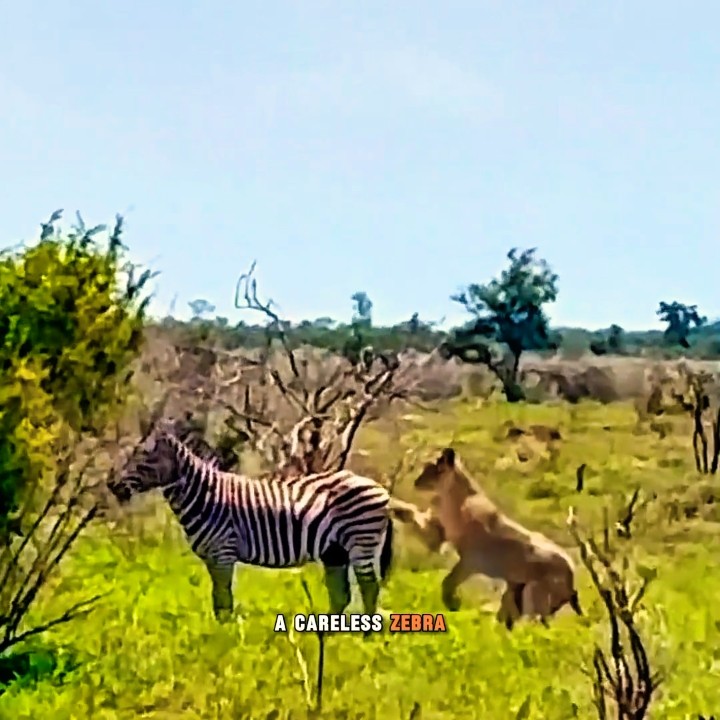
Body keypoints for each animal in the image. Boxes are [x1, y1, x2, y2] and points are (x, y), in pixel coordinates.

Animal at [108, 421, 395, 632]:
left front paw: (224, 639)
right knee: (341, 595)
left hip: (360, 540)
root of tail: (381, 490)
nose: (114, 487)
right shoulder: (211, 557)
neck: (204, 496)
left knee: (369, 589)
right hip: (335, 551)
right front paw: (219, 635)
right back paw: (327, 636)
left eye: (145, 459)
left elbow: (224, 600)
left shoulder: (223, 553)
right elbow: (218, 599)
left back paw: (366, 640)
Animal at [392, 447, 582, 629]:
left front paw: (454, 607)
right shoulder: (440, 536)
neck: (456, 500)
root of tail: (572, 577)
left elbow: (447, 583)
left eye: (436, 468)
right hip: (516, 592)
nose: (417, 482)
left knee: (533, 627)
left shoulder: (471, 562)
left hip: (535, 595)